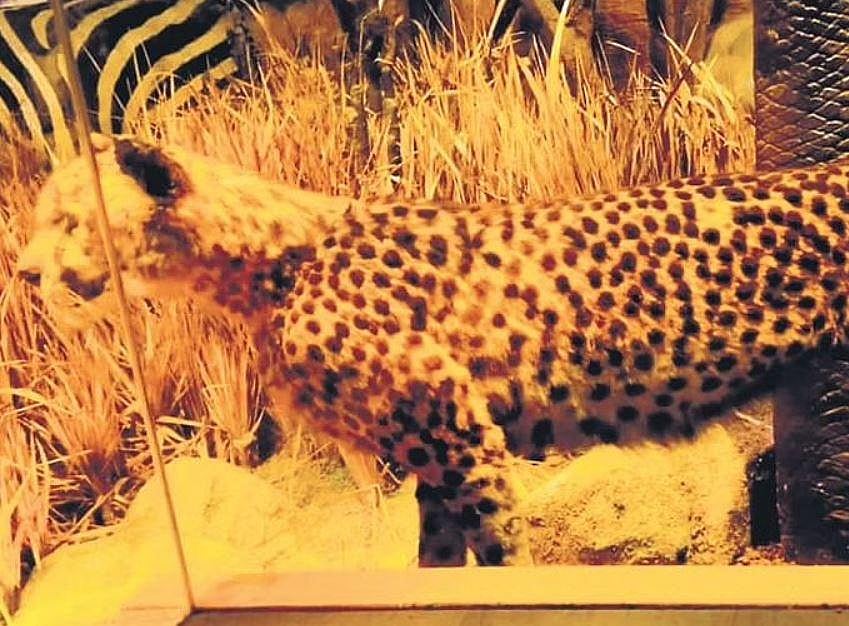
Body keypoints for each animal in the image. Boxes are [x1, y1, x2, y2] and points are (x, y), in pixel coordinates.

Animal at [17, 133, 849, 566]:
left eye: (67, 221)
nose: (23, 271)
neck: (267, 262)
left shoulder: (459, 435)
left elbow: (503, 552)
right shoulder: (422, 453)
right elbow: (433, 554)